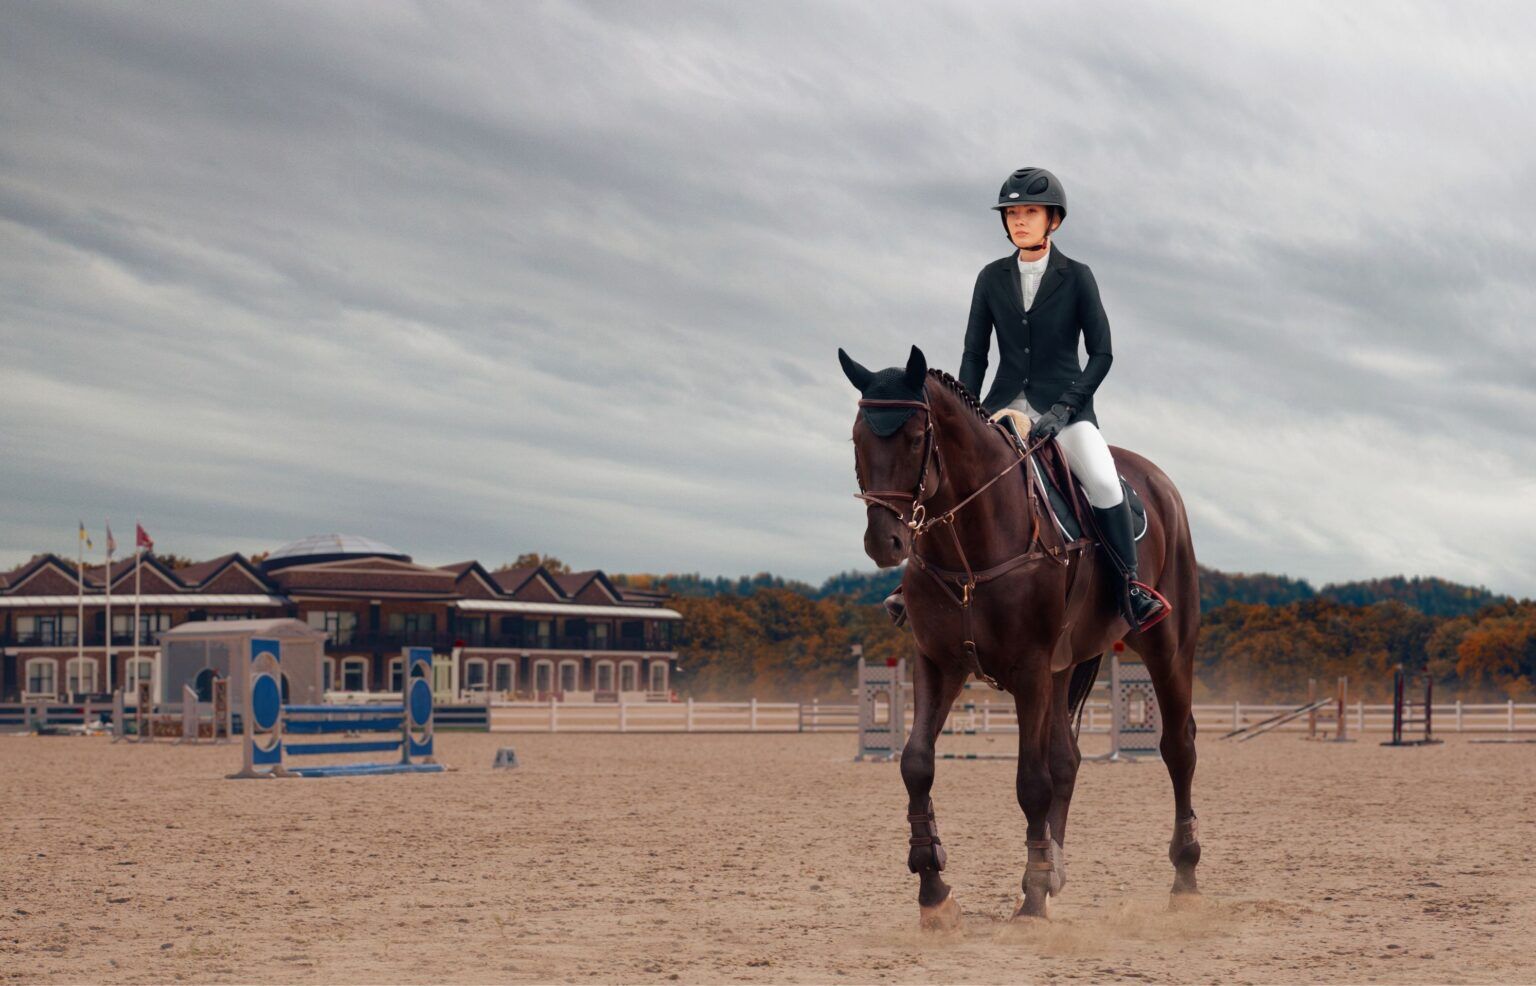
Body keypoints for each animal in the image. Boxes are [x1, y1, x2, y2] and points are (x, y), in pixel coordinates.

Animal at [839, 344, 1202, 925]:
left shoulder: (1029, 669)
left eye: (916, 438)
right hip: (1065, 664)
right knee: (1068, 760)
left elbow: (1032, 783)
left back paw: (1184, 878)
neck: (967, 543)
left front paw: (1030, 902)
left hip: (1166, 647)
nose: (885, 541)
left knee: (1177, 747)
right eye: (857, 438)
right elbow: (916, 764)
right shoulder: (938, 662)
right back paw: (1055, 873)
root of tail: (1158, 480)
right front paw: (934, 891)